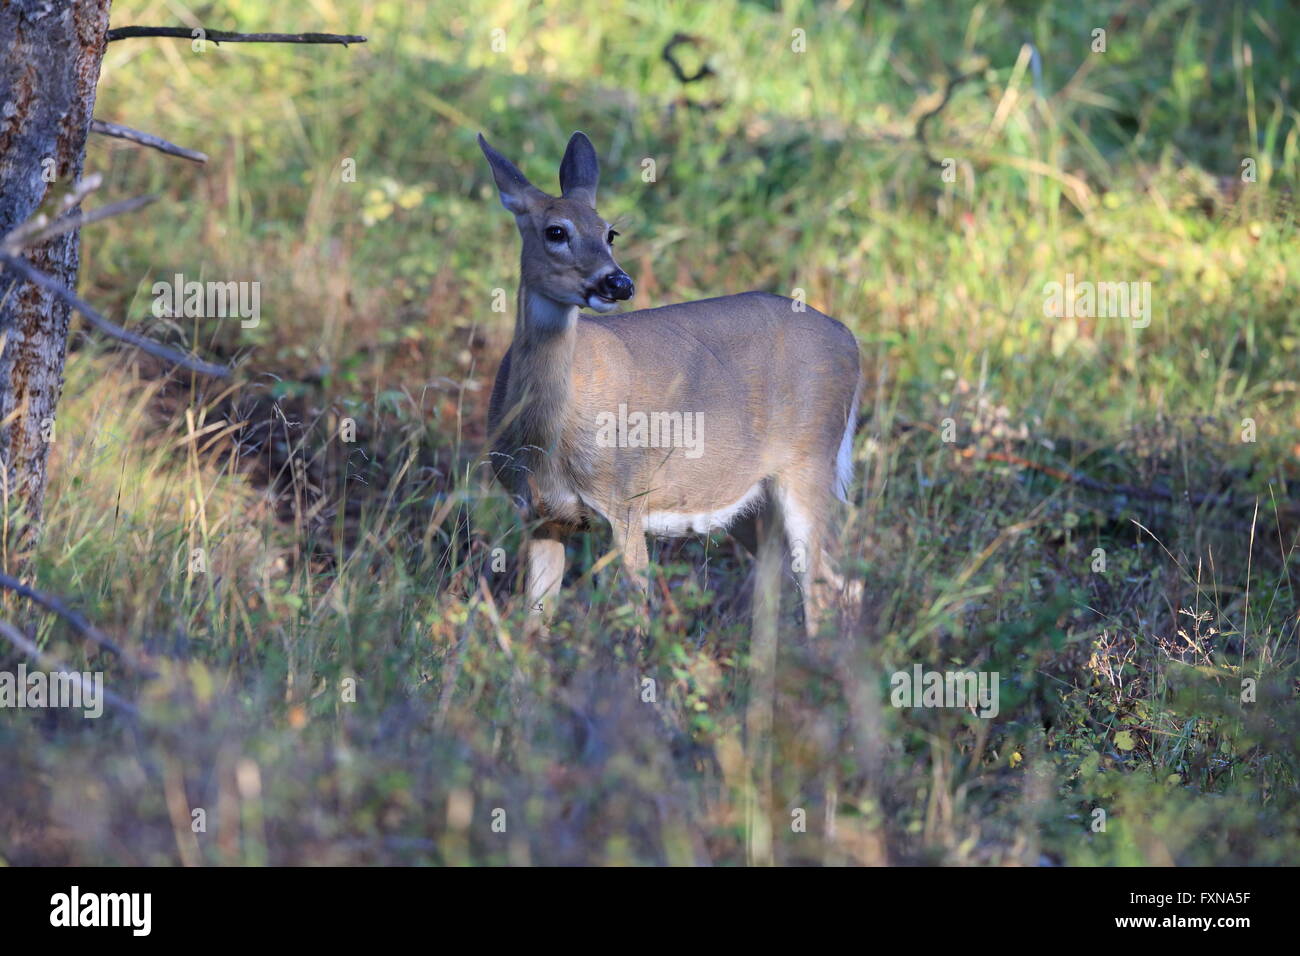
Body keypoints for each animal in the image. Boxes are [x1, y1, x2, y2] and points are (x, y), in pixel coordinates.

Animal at [479, 131, 861, 637]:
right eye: (556, 231)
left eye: (610, 232)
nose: (618, 283)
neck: (547, 437)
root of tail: (850, 340)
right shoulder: (541, 516)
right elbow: (534, 621)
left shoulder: (625, 499)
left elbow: (637, 612)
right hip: (751, 501)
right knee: (828, 582)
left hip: (809, 462)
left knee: (820, 586)